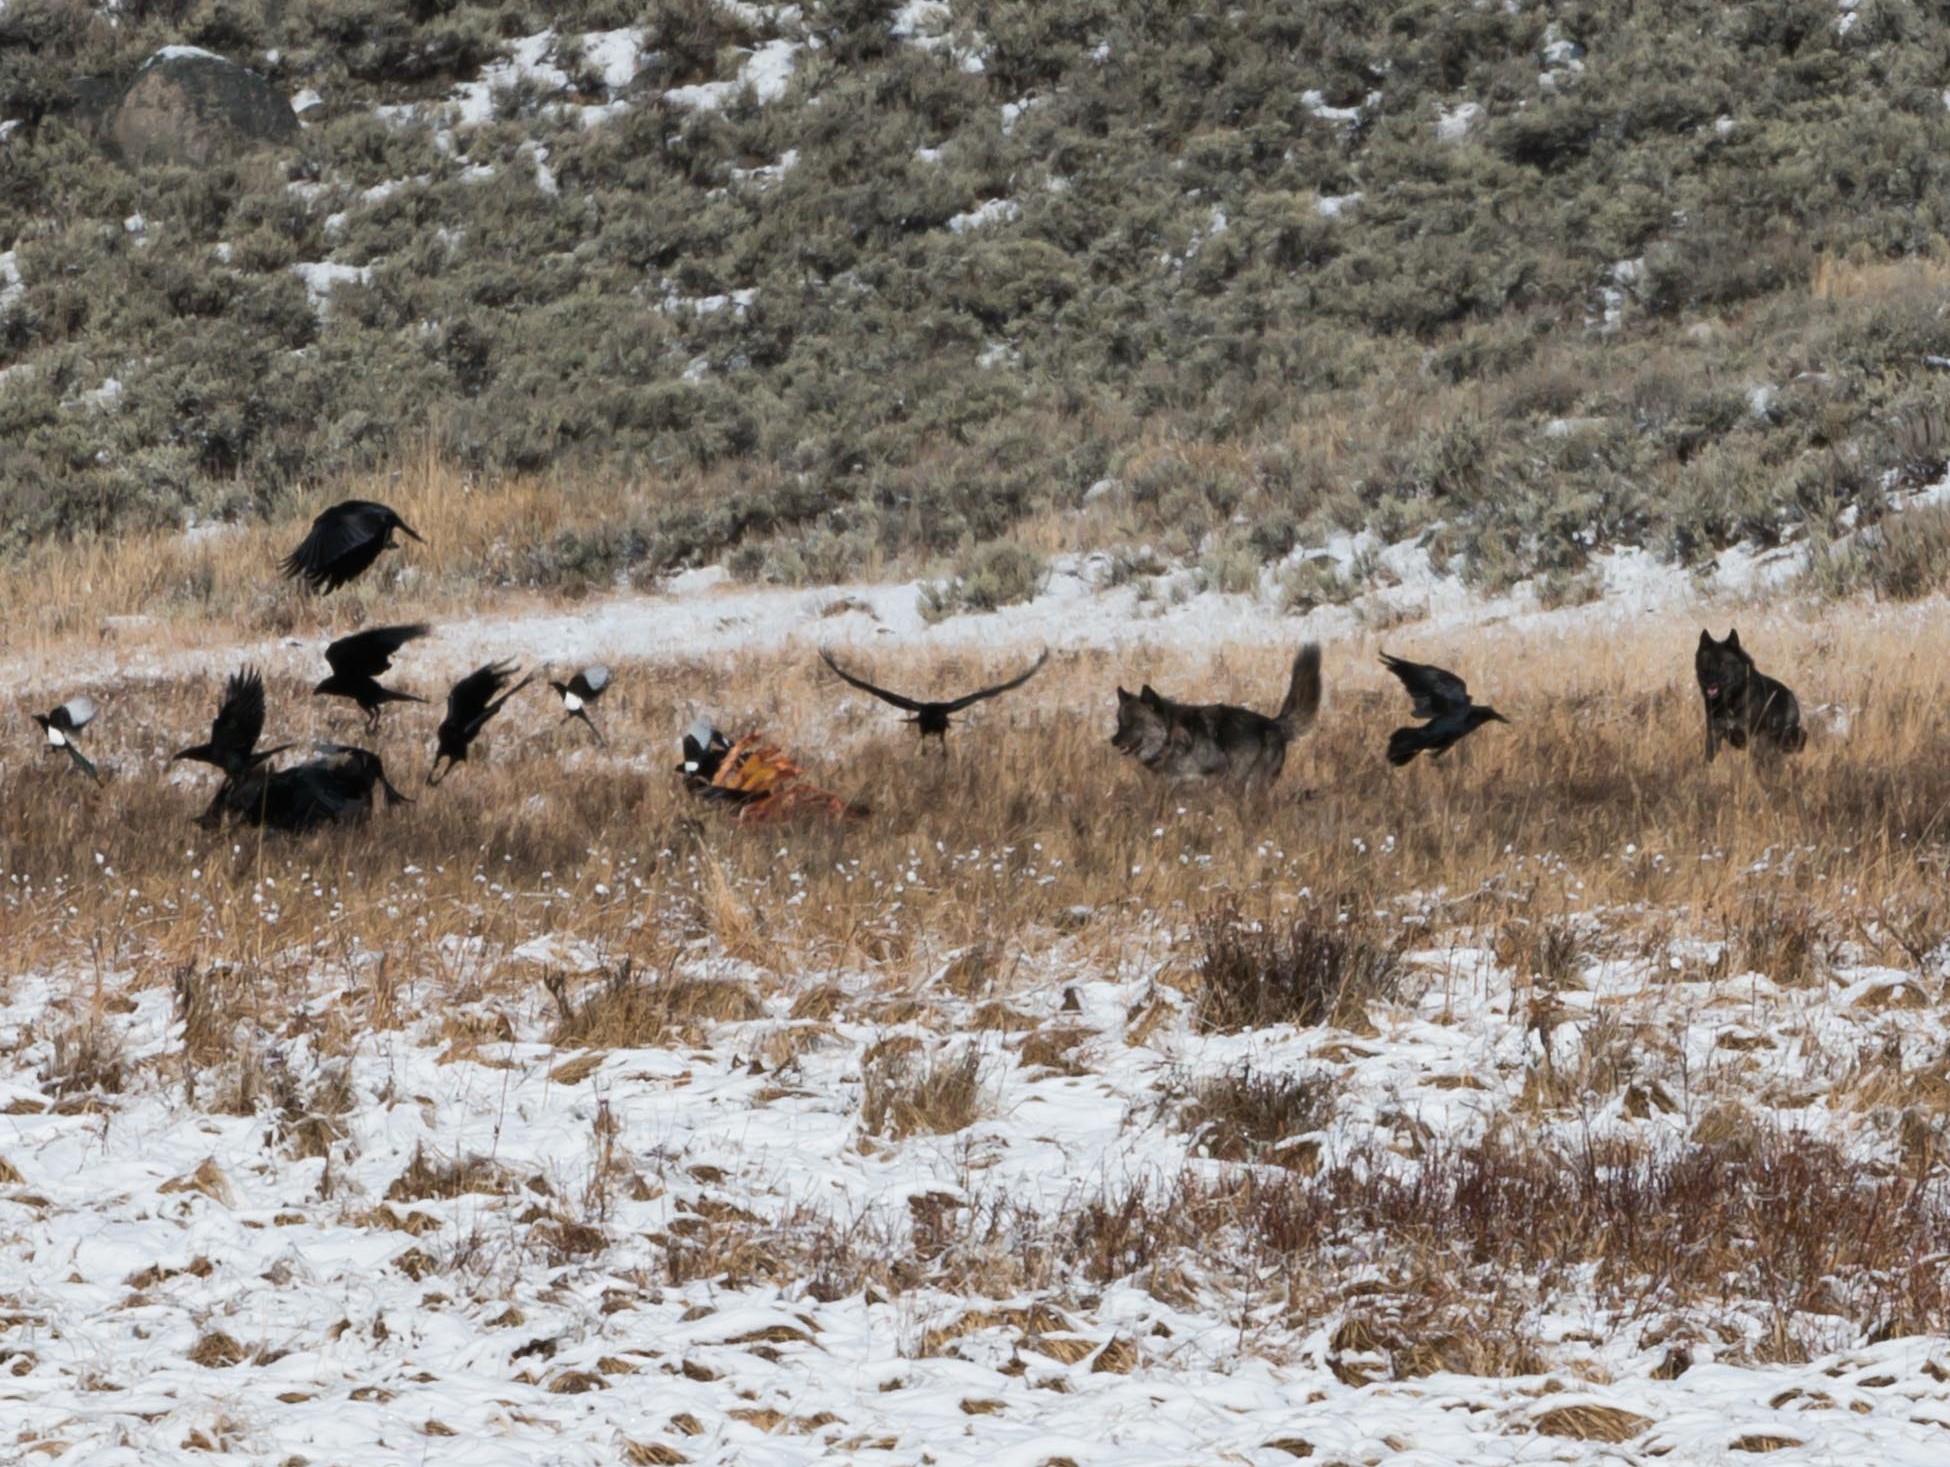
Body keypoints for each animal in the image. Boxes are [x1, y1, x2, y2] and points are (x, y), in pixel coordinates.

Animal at [1695, 629, 1805, 761]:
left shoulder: (1748, 738)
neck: (1731, 699)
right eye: (1706, 663)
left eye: (1722, 664)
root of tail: (1792, 699)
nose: (1709, 680)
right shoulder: (1714, 734)